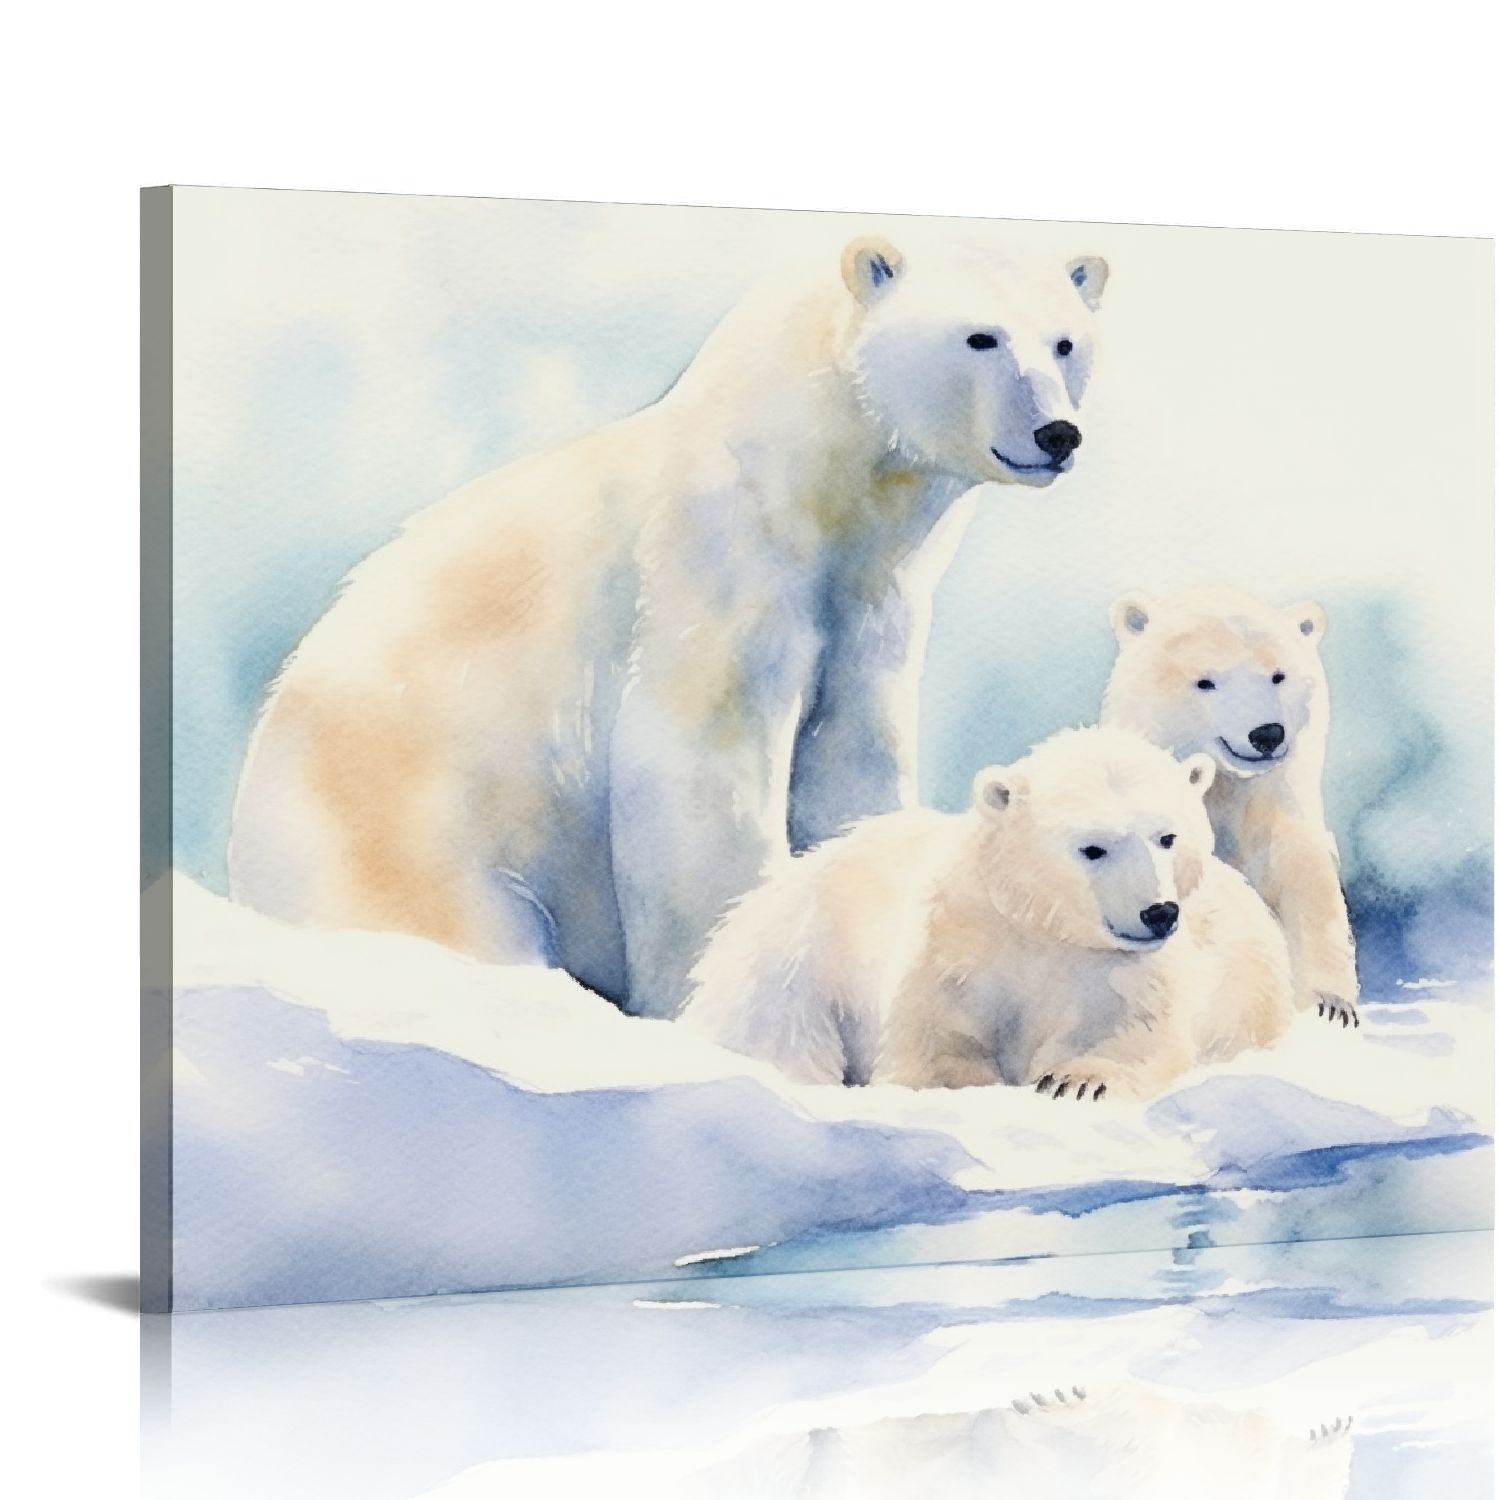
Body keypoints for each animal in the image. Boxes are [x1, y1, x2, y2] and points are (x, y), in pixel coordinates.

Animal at [228, 233, 1111, 1016]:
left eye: (1065, 341)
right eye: (979, 335)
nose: (1057, 433)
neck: (816, 491)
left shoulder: (871, 606)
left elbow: (850, 757)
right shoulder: (715, 569)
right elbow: (695, 771)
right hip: (414, 832)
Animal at [679, 726, 1295, 1097]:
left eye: (1167, 836)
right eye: (1092, 847)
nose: (1158, 912)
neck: (1042, 926)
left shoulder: (1129, 971)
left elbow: (1134, 1032)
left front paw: (1077, 1080)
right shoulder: (960, 945)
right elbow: (934, 1038)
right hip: (793, 959)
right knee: (780, 1031)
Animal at [1099, 587, 1359, 1026]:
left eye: (1278, 675)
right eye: (1206, 681)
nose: (1267, 733)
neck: (1224, 791)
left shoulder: (1274, 815)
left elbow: (1306, 886)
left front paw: (1331, 1005)